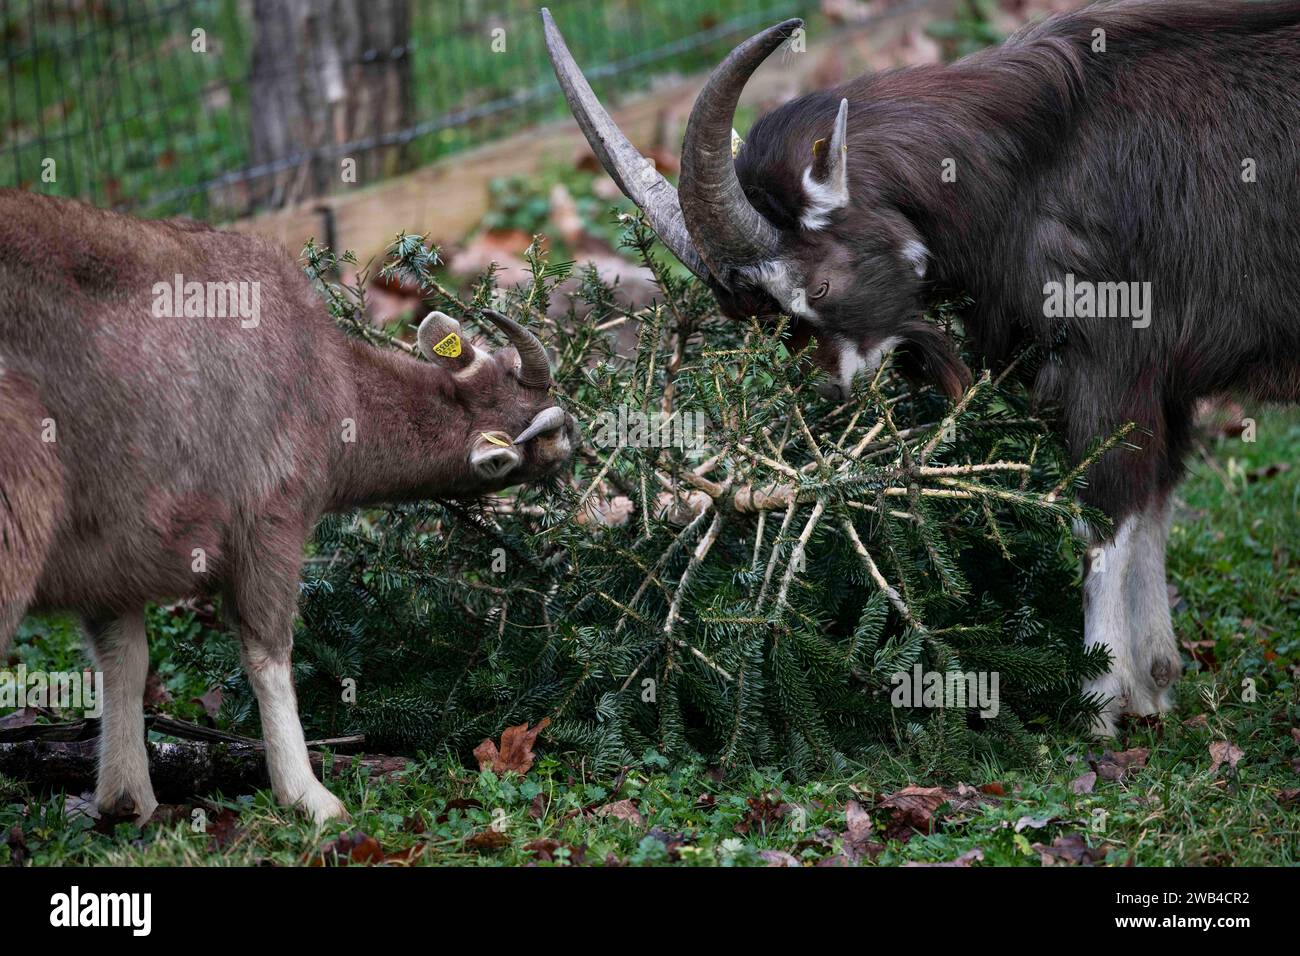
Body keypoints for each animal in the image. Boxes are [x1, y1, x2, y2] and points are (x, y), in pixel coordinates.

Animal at [0, 189, 576, 822]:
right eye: (545, 433)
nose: (579, 440)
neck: (330, 385)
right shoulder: (270, 514)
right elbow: (268, 649)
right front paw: (311, 798)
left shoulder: (115, 547)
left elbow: (123, 657)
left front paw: (130, 799)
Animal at [543, 0, 1300, 734]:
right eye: (765, 324)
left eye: (818, 288)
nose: (840, 395)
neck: (1041, 156)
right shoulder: (1165, 383)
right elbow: (1153, 504)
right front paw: (1155, 684)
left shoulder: (1109, 367)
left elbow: (1104, 515)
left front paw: (1102, 702)